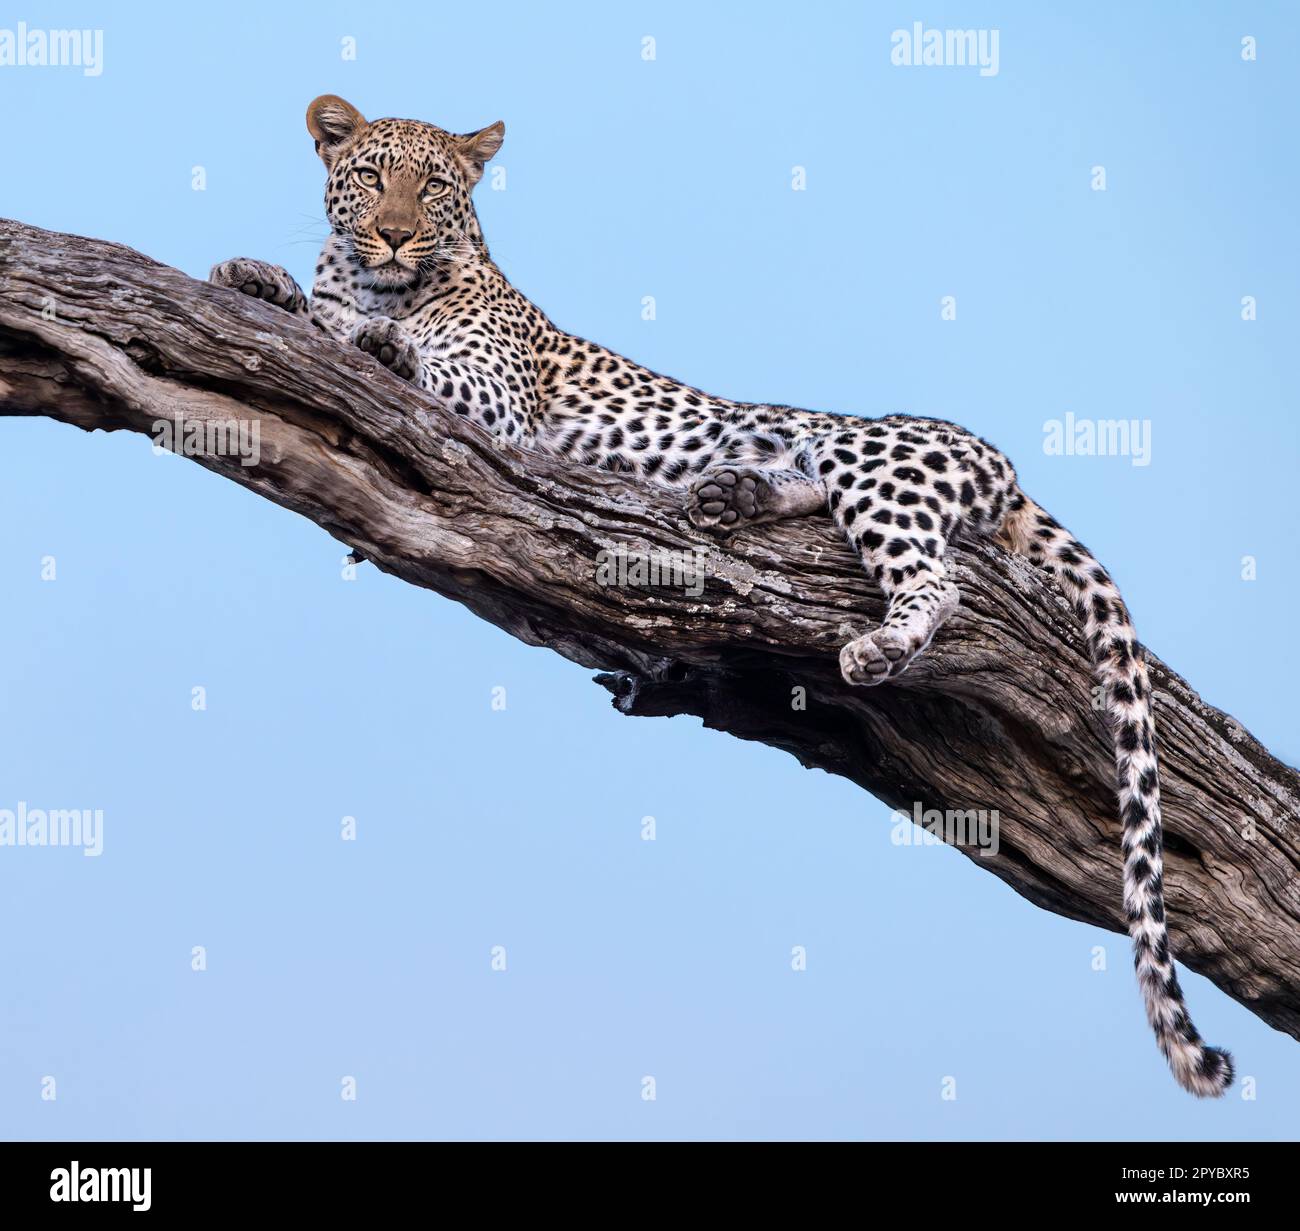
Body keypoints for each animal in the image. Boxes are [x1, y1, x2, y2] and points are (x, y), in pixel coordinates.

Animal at [209, 95, 1233, 1097]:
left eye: (433, 187)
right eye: (374, 177)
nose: (391, 234)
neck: (374, 283)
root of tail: (1000, 460)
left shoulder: (497, 402)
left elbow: (395, 352)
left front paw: (367, 336)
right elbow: (312, 311)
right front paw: (254, 277)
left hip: (873, 460)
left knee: (933, 575)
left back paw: (870, 640)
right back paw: (733, 492)